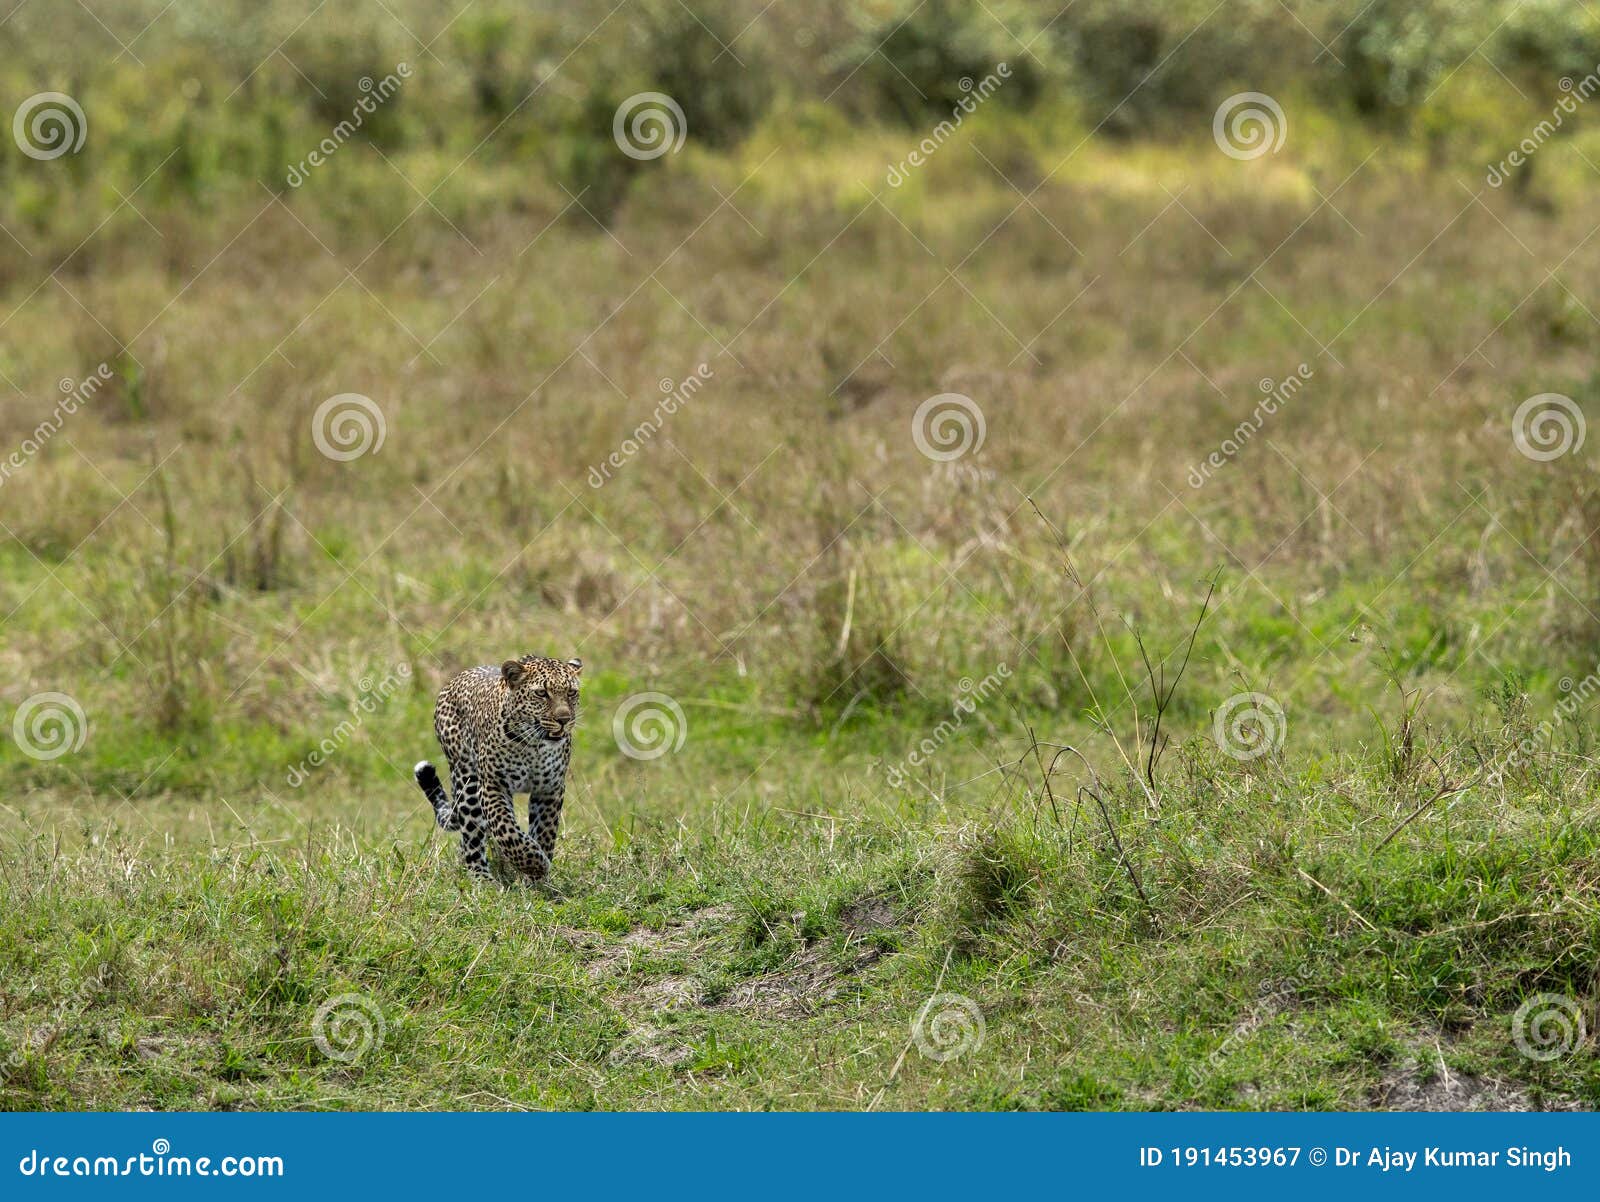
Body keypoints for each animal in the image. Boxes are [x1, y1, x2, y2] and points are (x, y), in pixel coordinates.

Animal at [413, 654, 582, 881]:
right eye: (541, 693)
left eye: (572, 692)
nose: (564, 720)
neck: (534, 746)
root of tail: (453, 681)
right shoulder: (493, 787)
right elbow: (507, 830)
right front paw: (535, 865)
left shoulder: (550, 789)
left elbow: (545, 831)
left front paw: (537, 878)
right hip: (468, 783)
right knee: (472, 838)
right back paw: (482, 879)